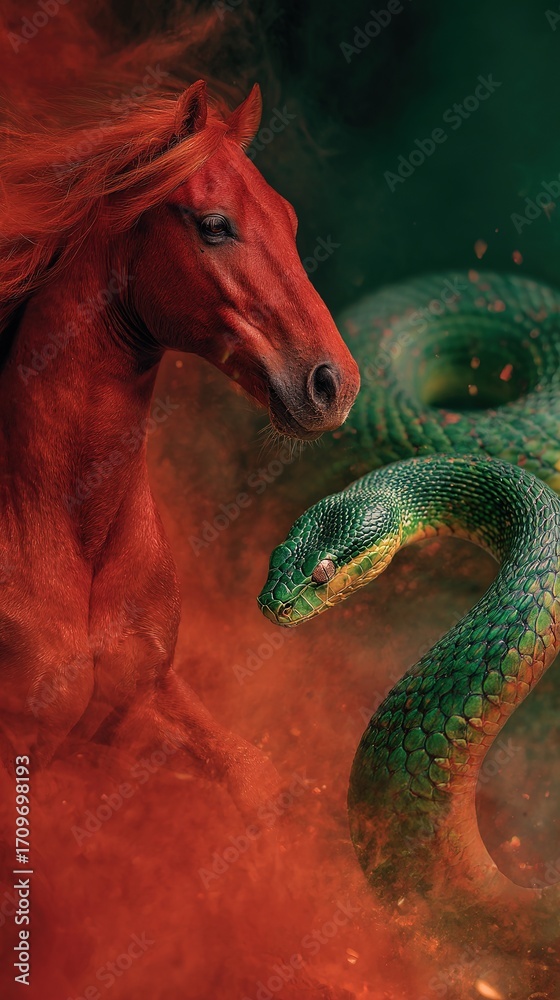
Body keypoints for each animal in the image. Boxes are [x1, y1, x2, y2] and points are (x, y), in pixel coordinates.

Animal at [0, 80, 360, 812]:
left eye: (290, 220)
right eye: (214, 225)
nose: (335, 383)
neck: (75, 533)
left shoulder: (141, 702)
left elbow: (256, 779)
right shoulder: (29, 742)